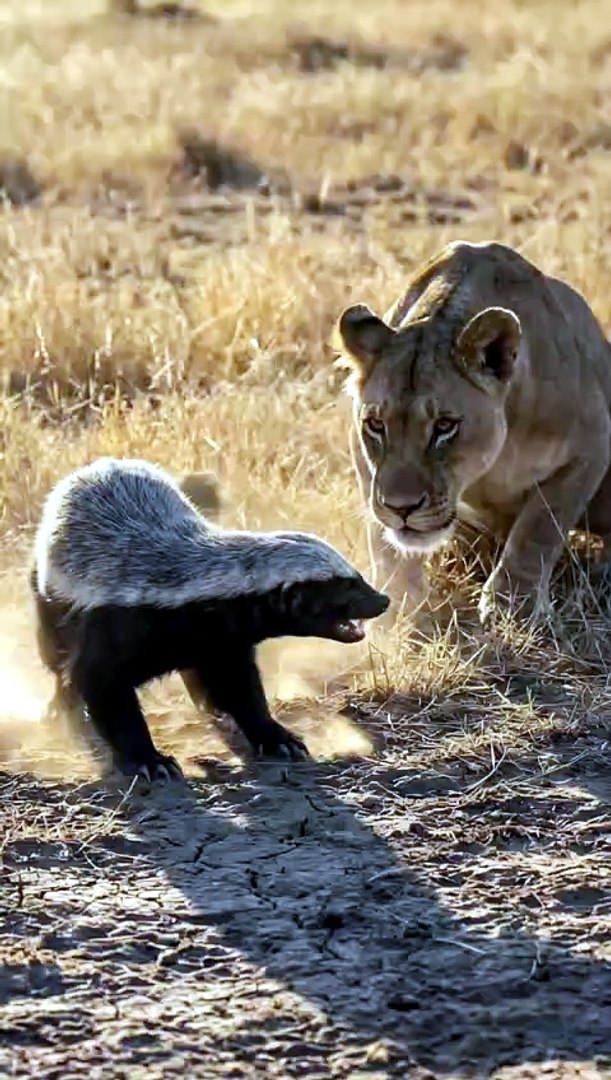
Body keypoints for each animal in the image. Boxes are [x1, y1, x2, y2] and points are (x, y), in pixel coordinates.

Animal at [334, 240, 611, 625]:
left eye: (445, 426)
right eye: (376, 426)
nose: (401, 508)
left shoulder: (591, 443)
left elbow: (539, 528)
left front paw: (510, 606)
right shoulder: (364, 459)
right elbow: (385, 541)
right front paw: (399, 607)